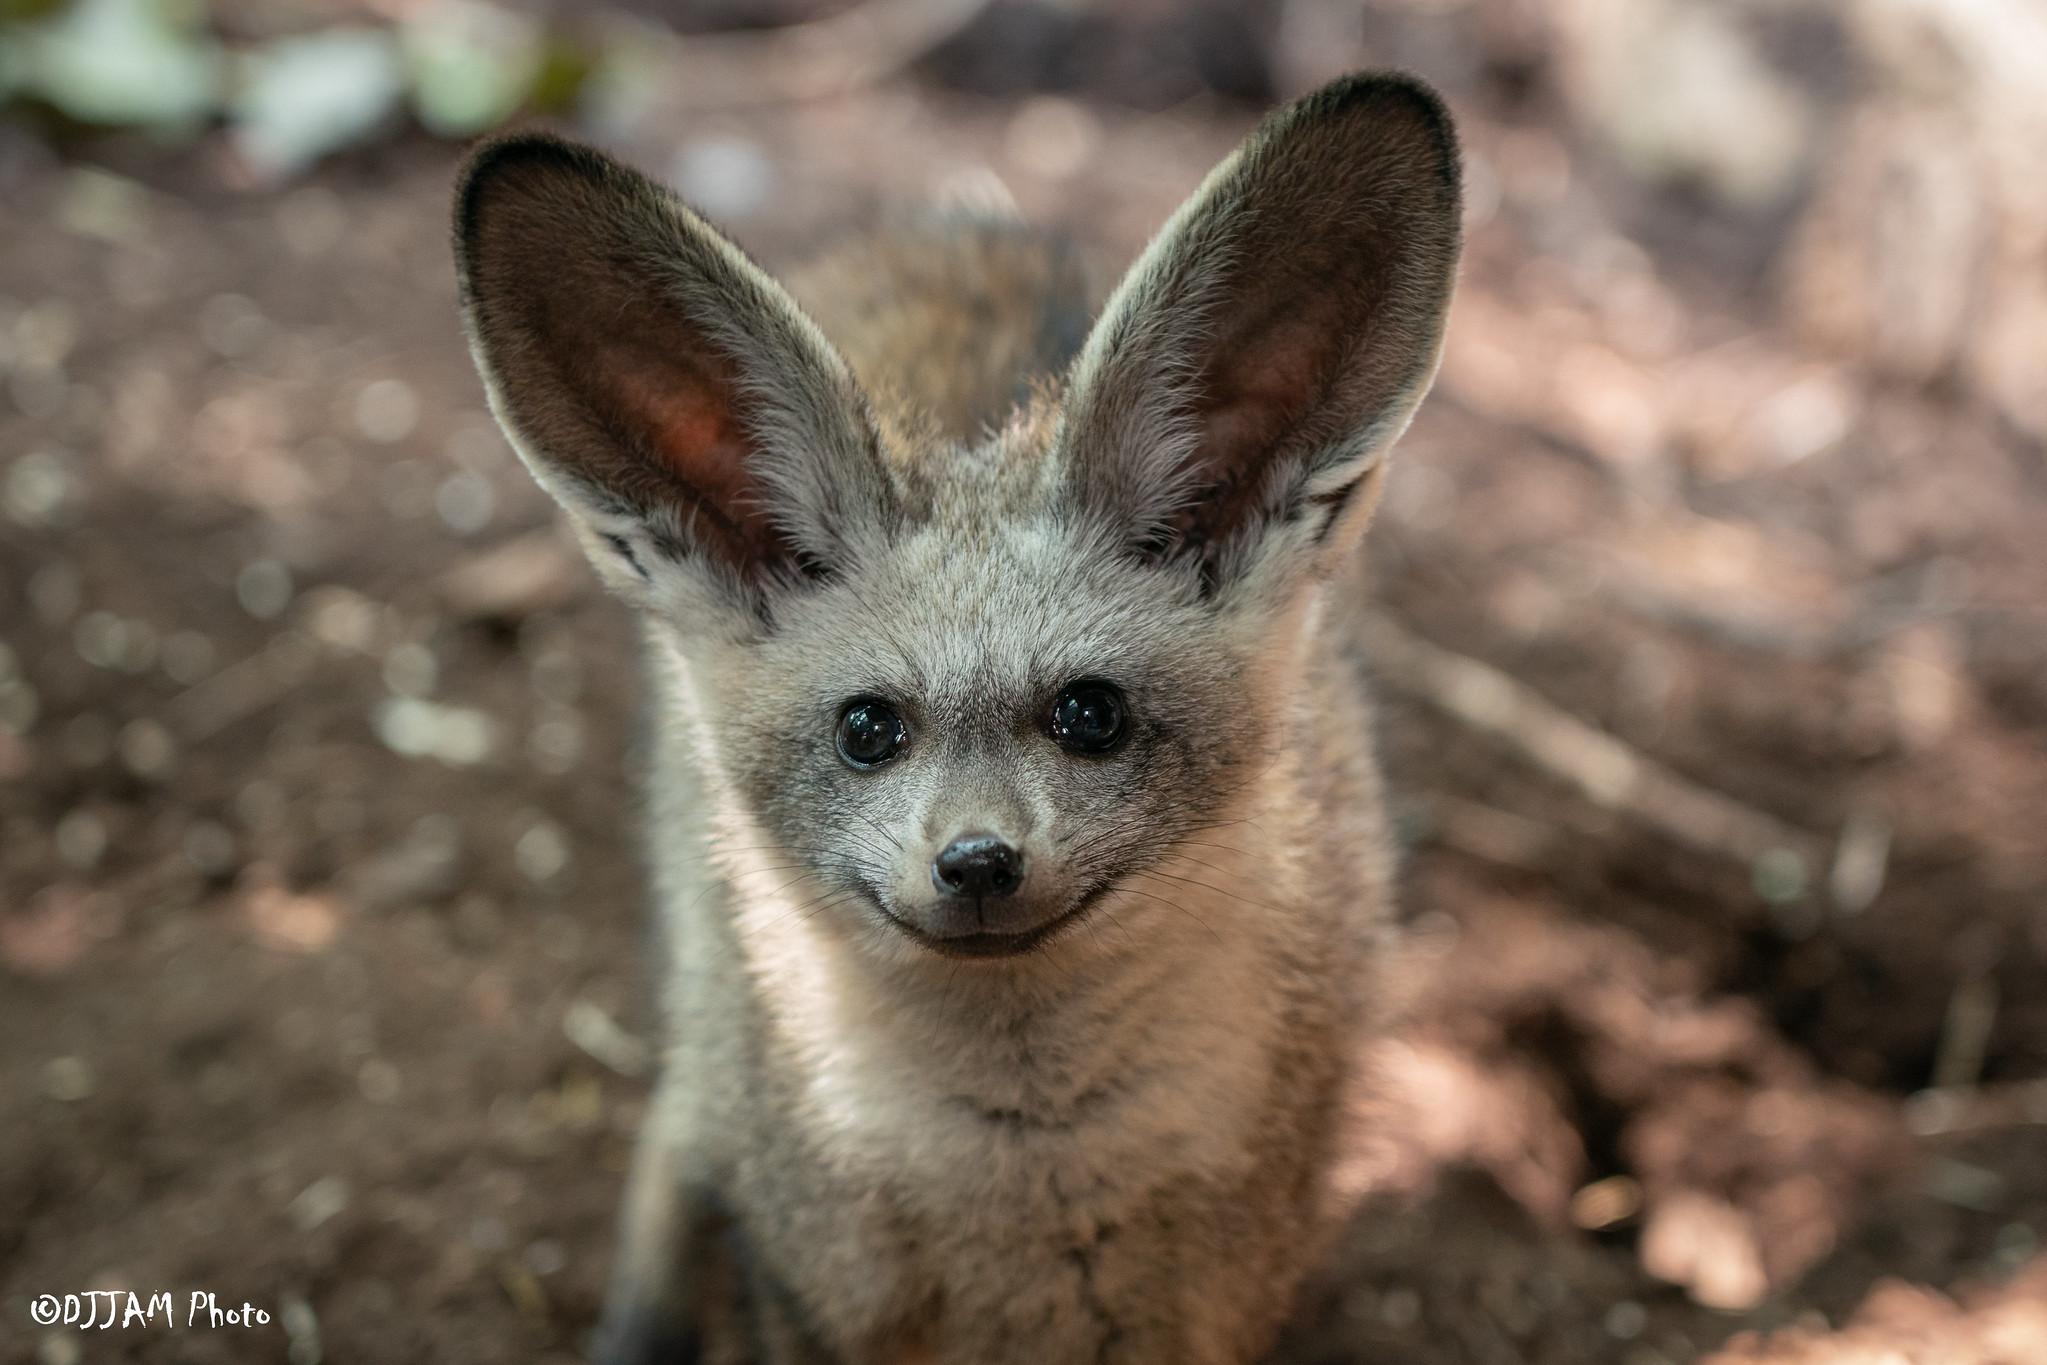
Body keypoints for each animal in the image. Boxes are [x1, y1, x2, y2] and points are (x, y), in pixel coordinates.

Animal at [453, 71, 1461, 1365]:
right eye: (866, 729)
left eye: (1089, 714)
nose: (977, 862)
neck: (1028, 1188)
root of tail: (952, 224)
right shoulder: (812, 1298)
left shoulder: (1220, 1306)